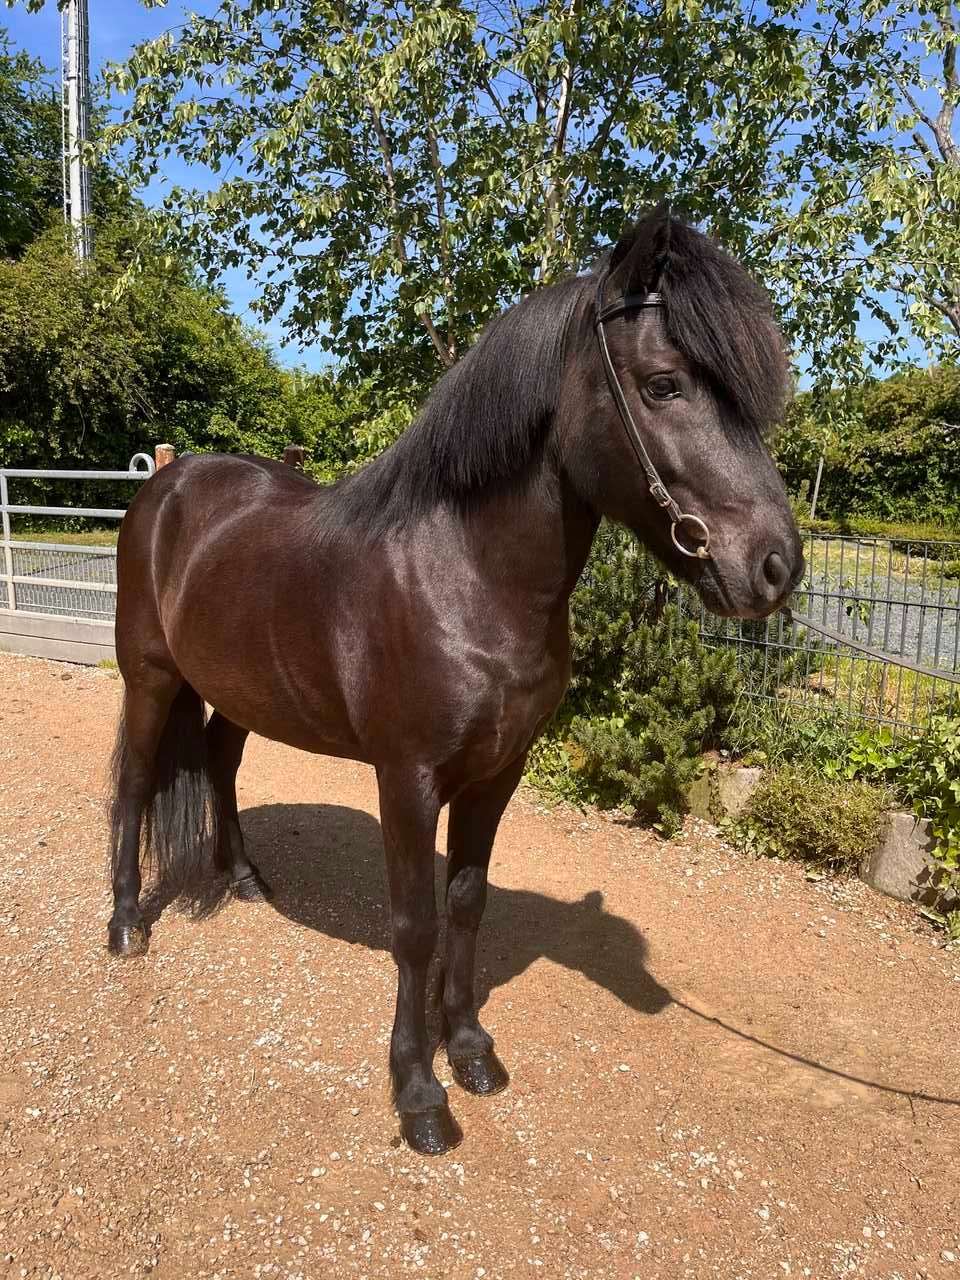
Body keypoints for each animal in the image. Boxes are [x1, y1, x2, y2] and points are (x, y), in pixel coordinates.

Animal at [106, 207, 803, 1156]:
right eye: (664, 385)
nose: (775, 566)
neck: (466, 578)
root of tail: (168, 483)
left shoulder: (495, 774)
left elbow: (467, 905)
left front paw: (469, 1049)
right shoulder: (408, 780)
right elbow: (414, 926)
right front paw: (418, 1093)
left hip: (241, 688)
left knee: (218, 761)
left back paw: (244, 879)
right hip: (148, 677)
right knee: (137, 783)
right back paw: (124, 925)